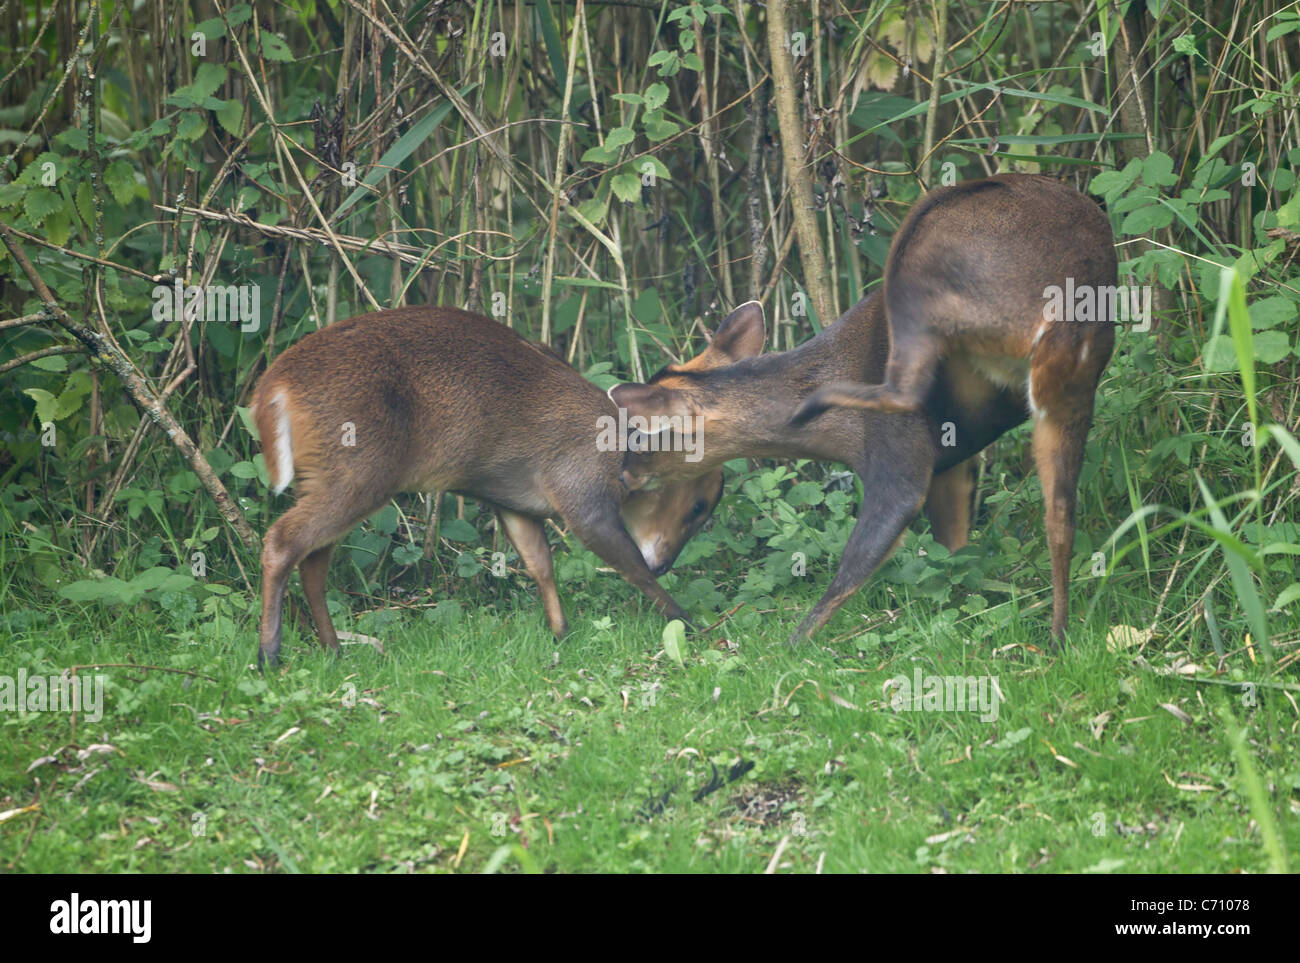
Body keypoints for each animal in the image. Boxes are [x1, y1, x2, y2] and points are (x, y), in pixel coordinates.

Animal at [250, 305, 724, 669]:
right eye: (699, 506)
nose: (666, 562)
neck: (619, 453)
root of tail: (272, 389)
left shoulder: (514, 503)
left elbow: (540, 564)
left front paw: (561, 633)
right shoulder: (582, 495)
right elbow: (630, 566)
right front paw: (689, 622)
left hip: (327, 479)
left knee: (313, 560)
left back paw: (333, 650)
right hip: (357, 473)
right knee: (282, 540)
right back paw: (270, 654)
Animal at [609, 174, 1118, 643]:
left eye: (641, 446)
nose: (624, 476)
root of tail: (1062, 310)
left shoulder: (900, 459)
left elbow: (859, 557)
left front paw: (788, 648)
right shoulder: (951, 463)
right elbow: (953, 549)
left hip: (919, 264)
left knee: (905, 388)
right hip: (1076, 376)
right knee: (1061, 510)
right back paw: (1057, 639)